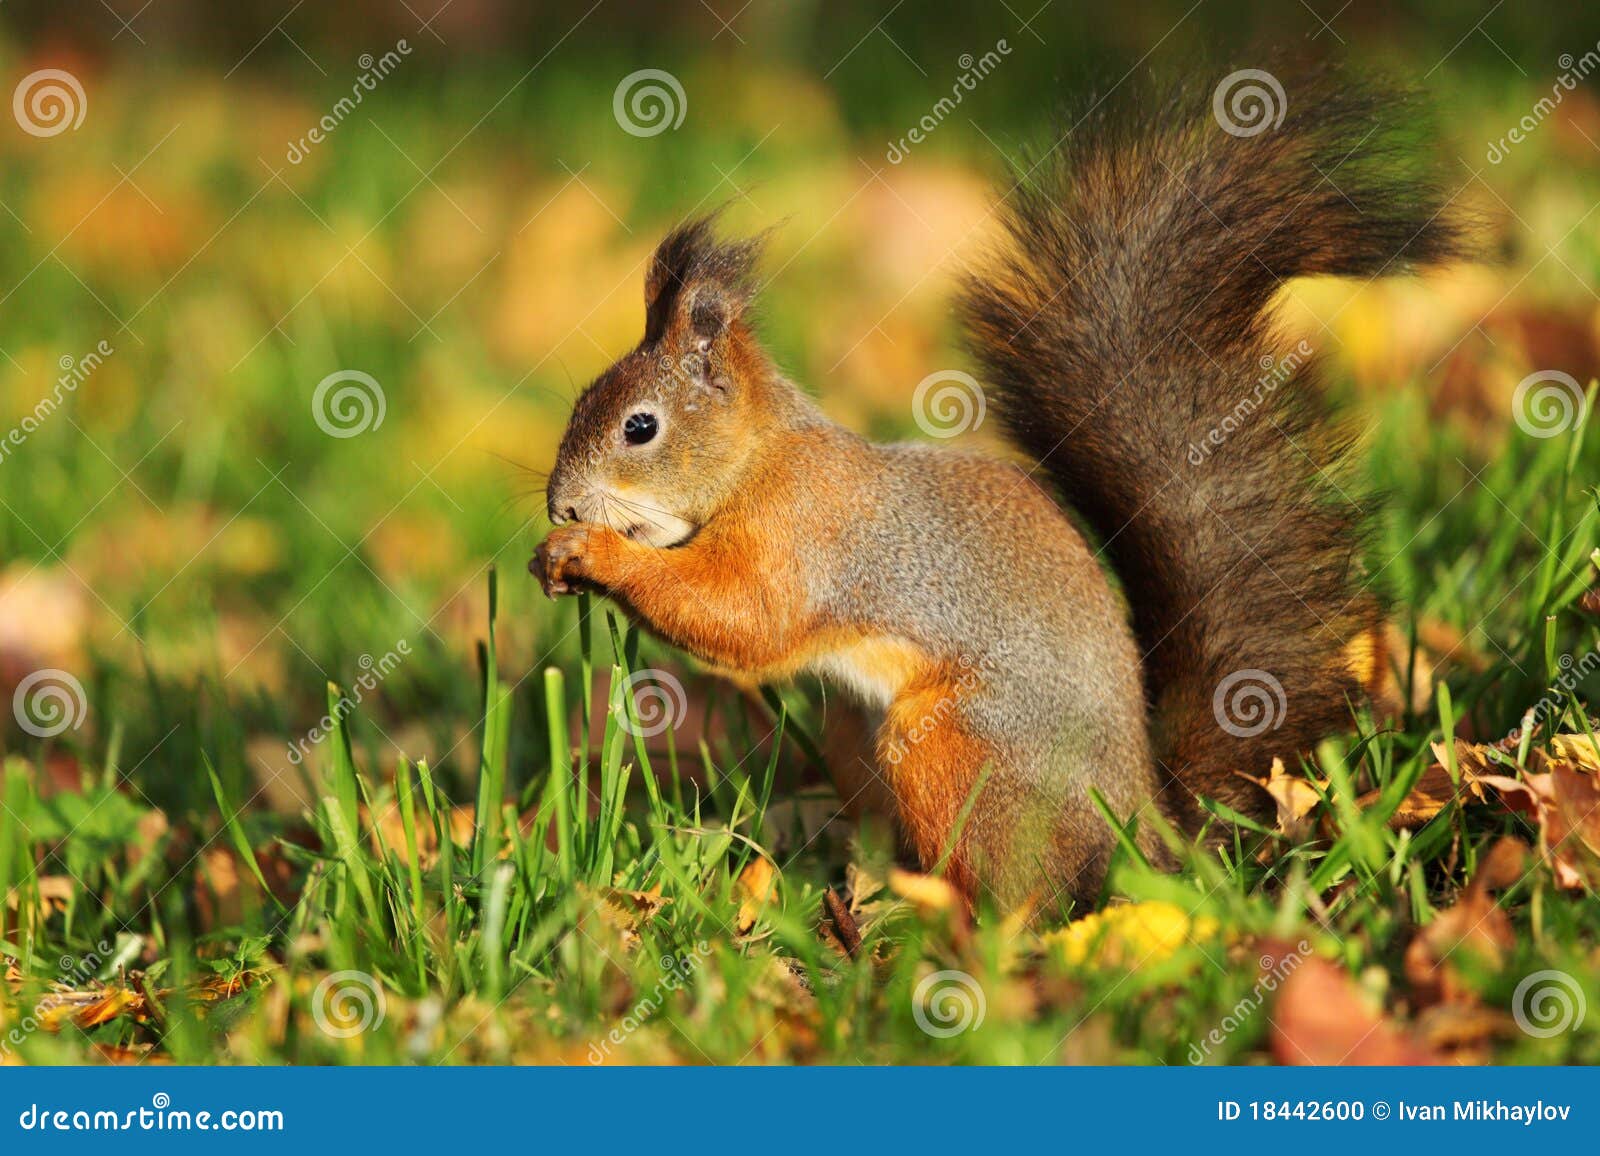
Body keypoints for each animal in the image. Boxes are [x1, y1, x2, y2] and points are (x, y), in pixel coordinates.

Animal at [532, 69, 1462, 912]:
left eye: (639, 428)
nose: (560, 504)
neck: (762, 459)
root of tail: (1142, 832)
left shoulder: (803, 534)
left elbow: (742, 616)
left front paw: (593, 552)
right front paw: (556, 557)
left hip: (955, 743)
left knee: (1026, 891)